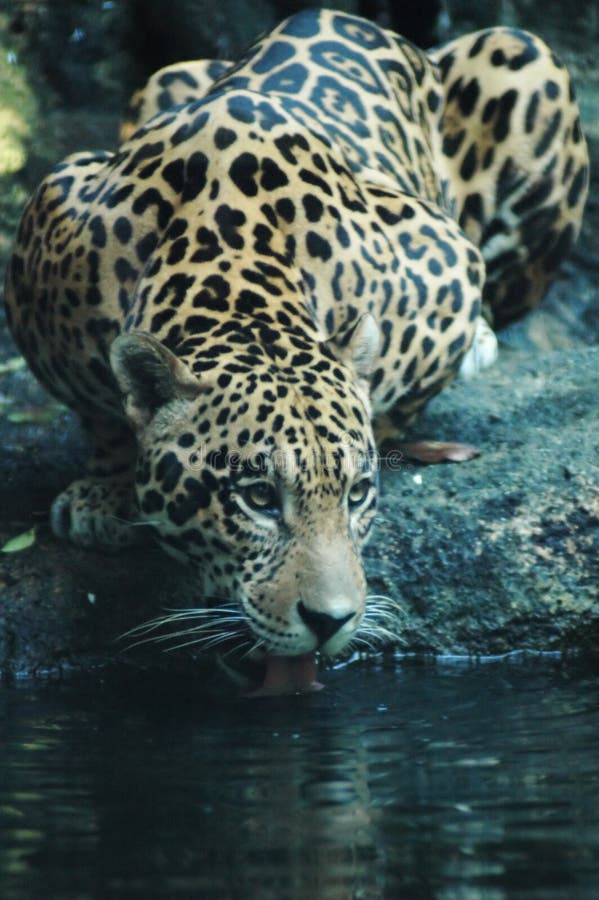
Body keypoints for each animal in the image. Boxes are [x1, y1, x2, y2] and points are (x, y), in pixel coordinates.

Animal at [4, 9, 588, 693]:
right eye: (257, 497)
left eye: (357, 494)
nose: (331, 620)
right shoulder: (50, 219)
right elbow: (101, 413)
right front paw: (105, 492)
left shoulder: (446, 259)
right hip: (164, 76)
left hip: (524, 56)